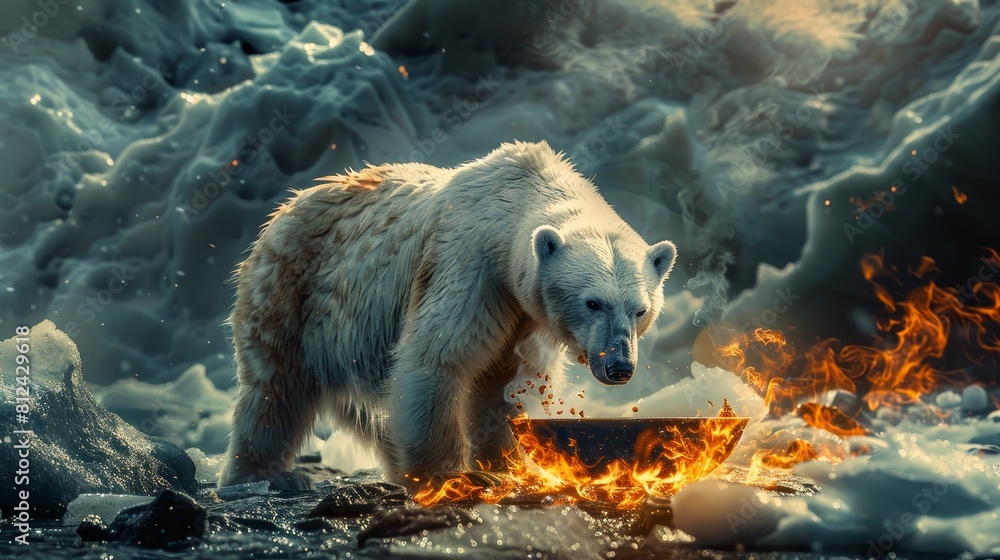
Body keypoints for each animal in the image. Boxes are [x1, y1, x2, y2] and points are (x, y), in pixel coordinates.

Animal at [218, 141, 678, 490]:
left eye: (640, 310)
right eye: (592, 302)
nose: (619, 366)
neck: (513, 206)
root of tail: (284, 209)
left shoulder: (526, 314)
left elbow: (509, 384)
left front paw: (513, 465)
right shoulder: (471, 269)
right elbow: (439, 358)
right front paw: (451, 475)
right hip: (292, 292)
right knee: (276, 385)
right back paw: (265, 474)